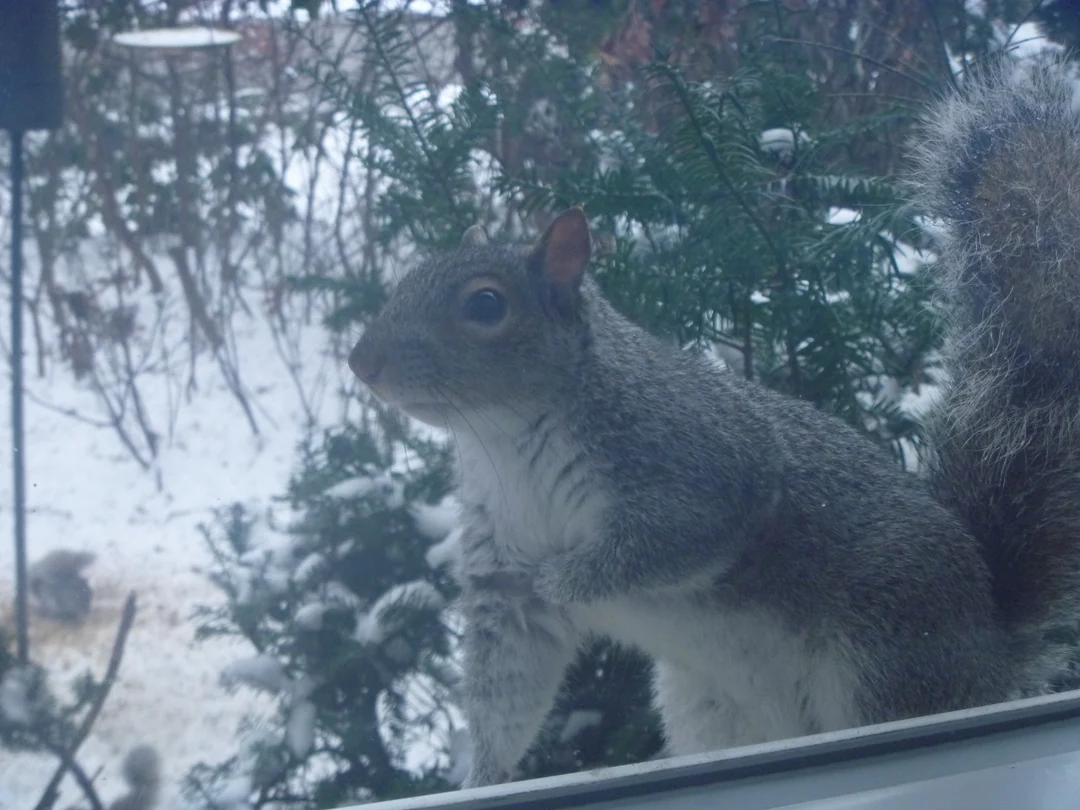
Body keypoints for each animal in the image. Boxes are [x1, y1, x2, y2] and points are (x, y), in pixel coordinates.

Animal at [347, 59, 1080, 788]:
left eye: (486, 305)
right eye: (406, 279)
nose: (361, 363)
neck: (507, 438)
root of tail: (988, 643)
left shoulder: (700, 466)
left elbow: (662, 544)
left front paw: (566, 577)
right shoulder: (500, 568)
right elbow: (508, 686)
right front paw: (483, 778)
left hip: (885, 654)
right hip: (707, 707)